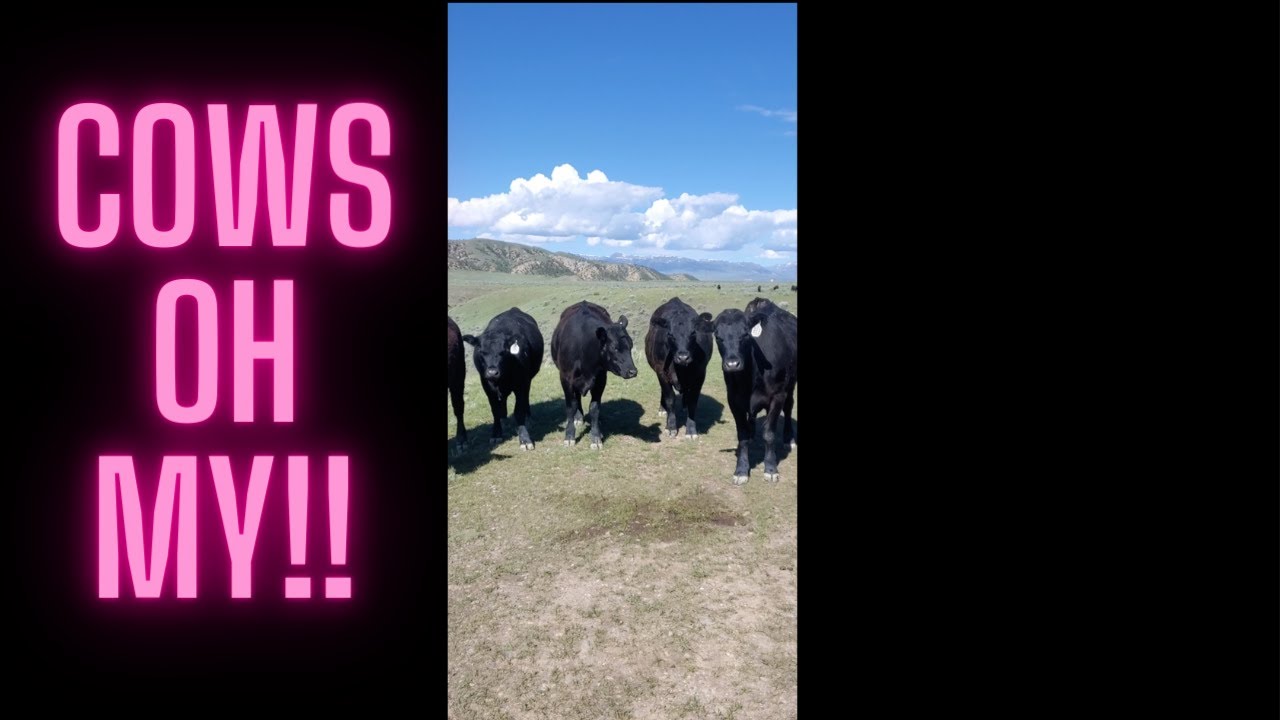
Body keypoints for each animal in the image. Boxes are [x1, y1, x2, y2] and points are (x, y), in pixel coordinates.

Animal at [461, 307, 544, 450]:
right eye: (481, 352)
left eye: (504, 351)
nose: (492, 373)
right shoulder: (487, 386)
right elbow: (495, 410)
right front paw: (496, 433)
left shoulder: (521, 384)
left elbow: (518, 411)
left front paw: (524, 439)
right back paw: (504, 420)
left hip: (527, 381)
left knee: (525, 399)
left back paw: (528, 418)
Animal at [551, 301, 638, 449]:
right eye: (614, 348)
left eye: (630, 345)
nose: (632, 371)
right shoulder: (566, 378)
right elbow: (570, 406)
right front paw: (569, 436)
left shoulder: (600, 379)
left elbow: (594, 407)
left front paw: (596, 436)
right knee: (577, 398)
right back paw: (578, 418)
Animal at [644, 297, 714, 439]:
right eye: (670, 334)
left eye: (693, 333)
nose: (683, 357)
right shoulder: (661, 372)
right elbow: (670, 399)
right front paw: (671, 427)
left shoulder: (700, 375)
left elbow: (693, 401)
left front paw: (691, 430)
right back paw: (662, 408)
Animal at [713, 297, 797, 485]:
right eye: (718, 336)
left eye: (745, 334)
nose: (732, 364)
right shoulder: (734, 399)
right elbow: (742, 435)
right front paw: (741, 470)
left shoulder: (777, 397)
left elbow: (769, 433)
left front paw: (771, 469)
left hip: (791, 384)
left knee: (789, 407)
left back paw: (789, 438)